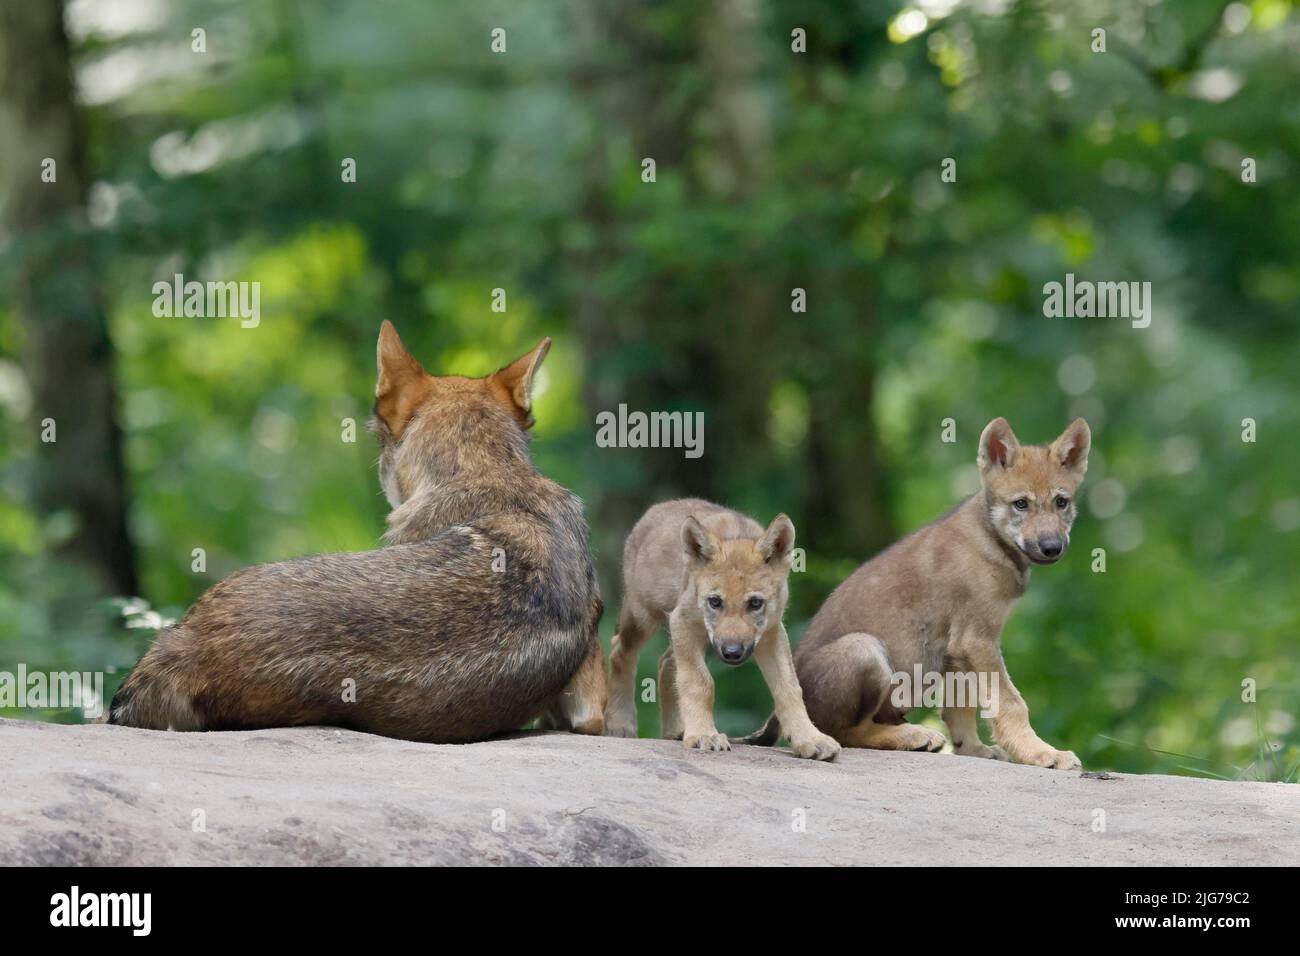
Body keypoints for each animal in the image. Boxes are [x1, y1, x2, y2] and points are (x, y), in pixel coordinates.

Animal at [604, 499, 840, 760]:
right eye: (715, 602)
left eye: (755, 603)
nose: (732, 651)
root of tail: (656, 508)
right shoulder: (682, 621)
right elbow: (700, 682)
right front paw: (704, 734)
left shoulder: (772, 632)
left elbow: (789, 688)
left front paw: (809, 738)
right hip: (645, 617)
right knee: (619, 651)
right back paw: (620, 723)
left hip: (698, 640)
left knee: (666, 663)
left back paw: (675, 730)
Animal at [746, 418, 1091, 770]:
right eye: (1021, 504)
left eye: (1061, 502)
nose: (1052, 547)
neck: (991, 540)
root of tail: (774, 719)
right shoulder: (977, 640)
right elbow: (1011, 703)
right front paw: (1042, 753)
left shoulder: (958, 650)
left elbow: (960, 710)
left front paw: (974, 750)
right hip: (865, 649)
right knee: (847, 732)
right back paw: (912, 736)